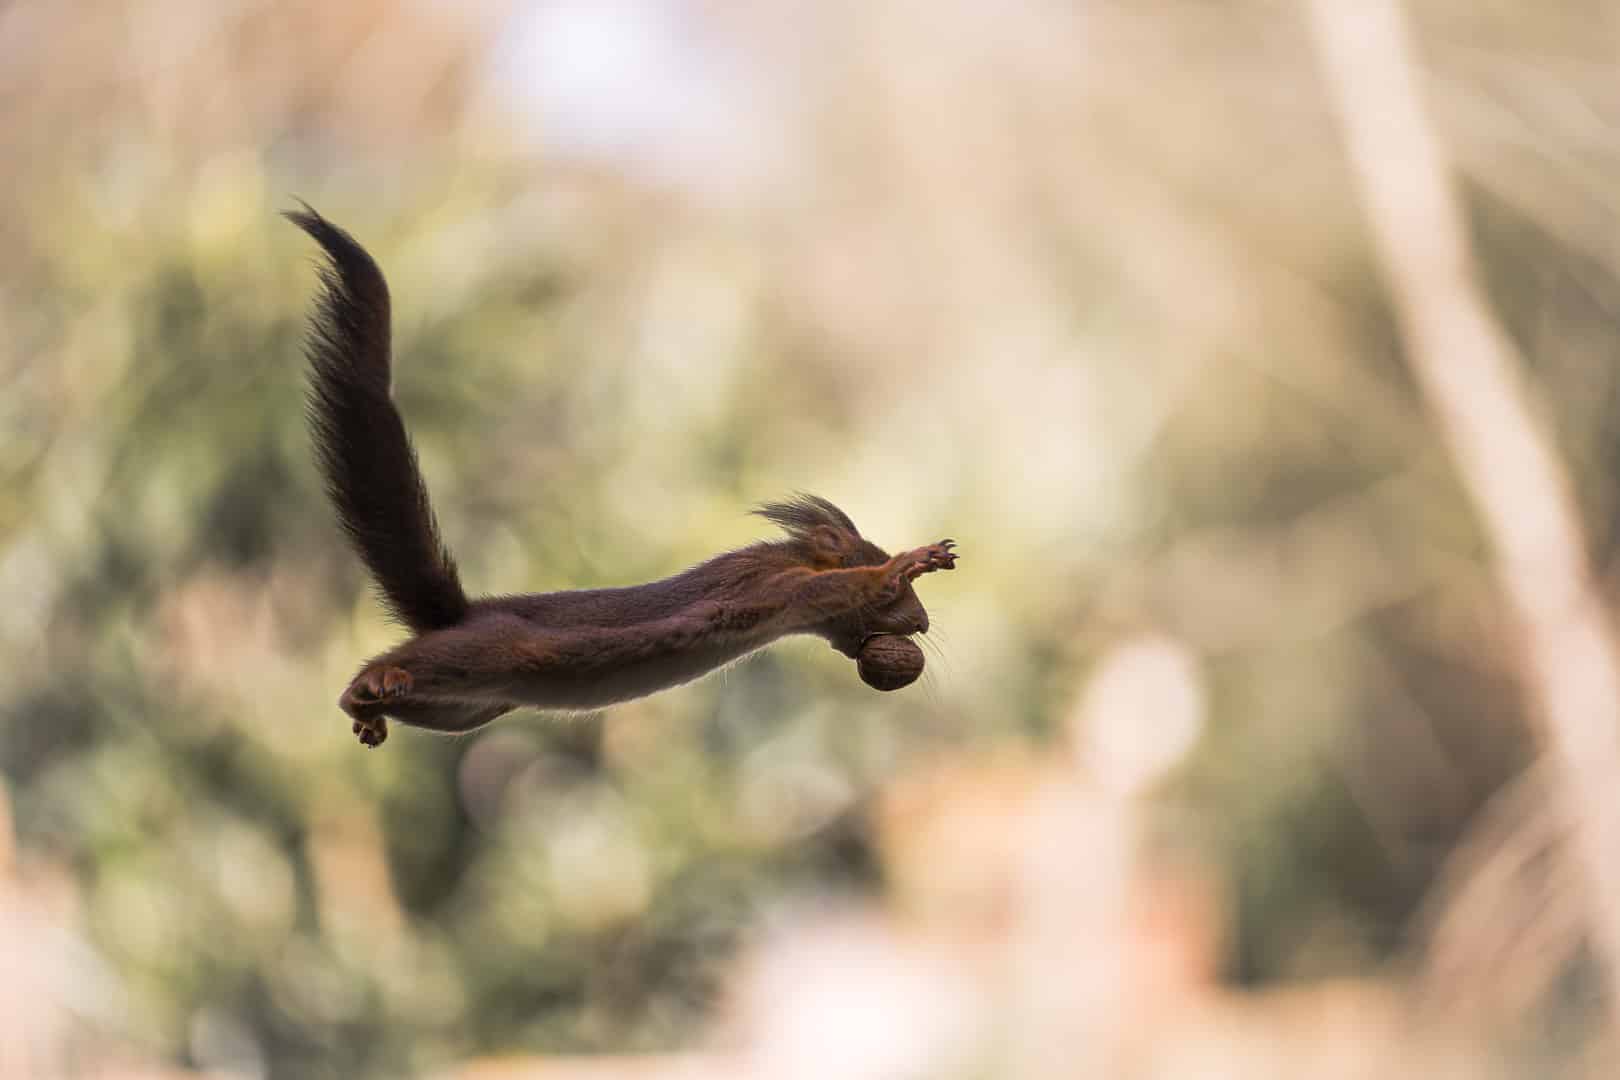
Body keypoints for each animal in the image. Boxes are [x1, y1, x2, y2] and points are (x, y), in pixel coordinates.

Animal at [286, 206, 959, 748]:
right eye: (881, 569)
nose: (923, 625)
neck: (786, 565)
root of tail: (462, 615)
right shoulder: (773, 587)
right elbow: (831, 588)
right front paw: (914, 559)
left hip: (467, 707)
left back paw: (372, 714)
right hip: (482, 654)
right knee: (389, 669)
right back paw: (368, 685)